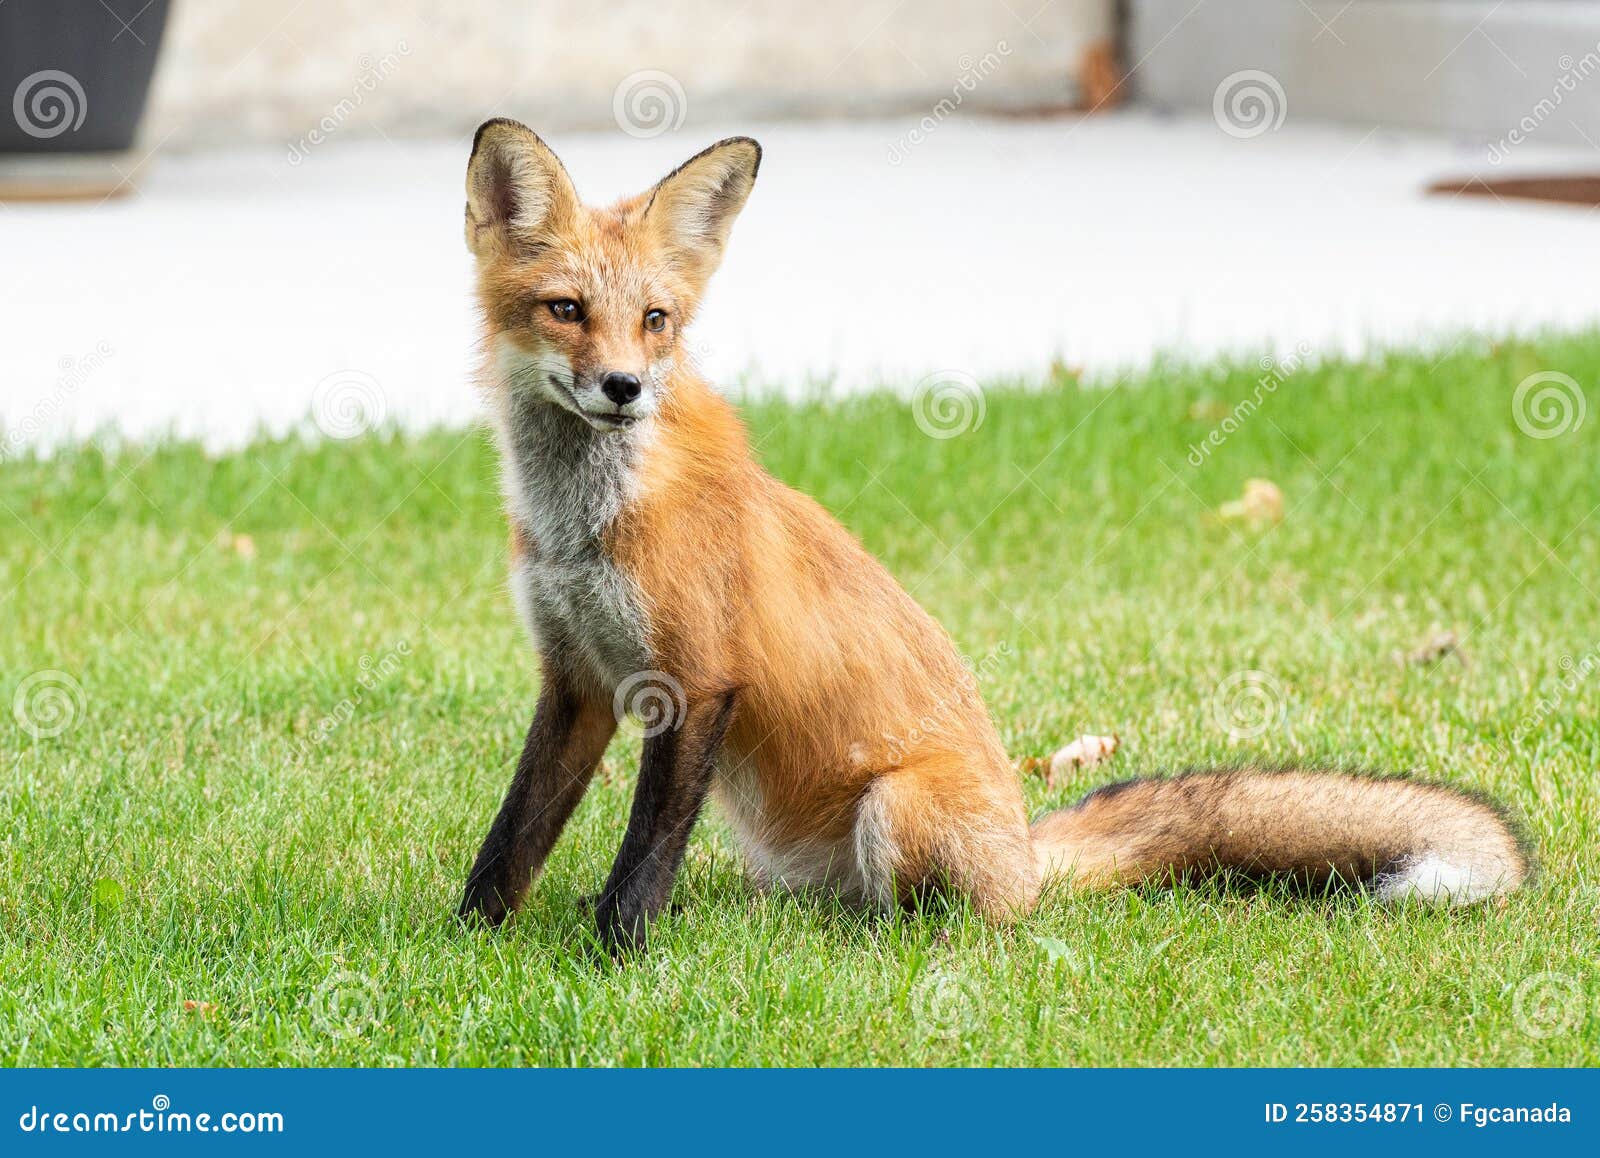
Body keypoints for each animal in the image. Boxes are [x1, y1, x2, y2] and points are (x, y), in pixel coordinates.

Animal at [455, 119, 1529, 953]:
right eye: (566, 310)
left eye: (656, 320)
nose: (625, 389)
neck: (582, 523)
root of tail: (1026, 849)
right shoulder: (578, 677)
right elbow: (514, 834)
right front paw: (470, 939)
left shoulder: (696, 678)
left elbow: (646, 851)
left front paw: (616, 951)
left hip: (898, 807)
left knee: (952, 923)